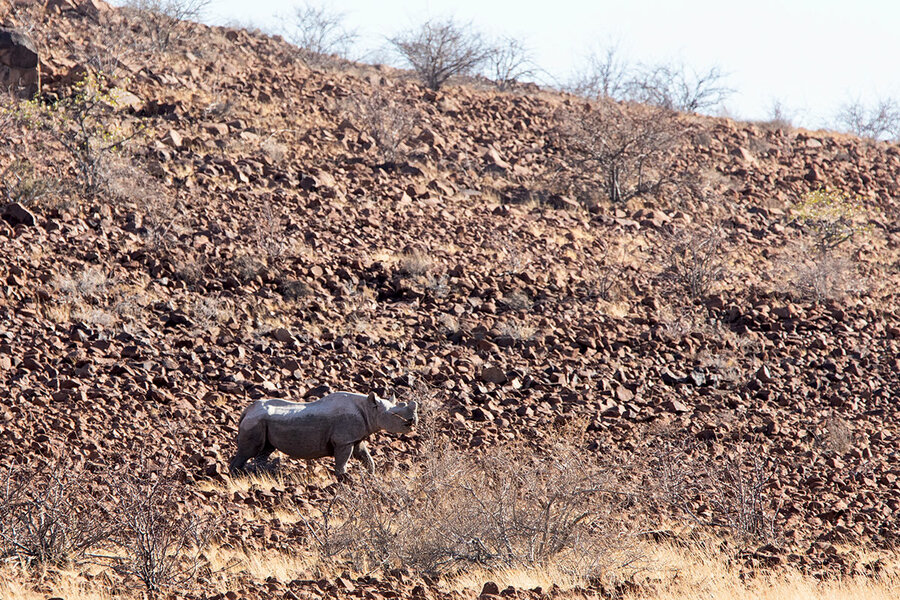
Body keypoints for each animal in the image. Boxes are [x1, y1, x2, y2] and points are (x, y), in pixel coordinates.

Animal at [229, 391, 418, 479]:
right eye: (395, 415)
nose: (413, 421)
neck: (369, 409)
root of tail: (246, 411)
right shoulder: (344, 440)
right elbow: (343, 460)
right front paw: (343, 477)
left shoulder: (356, 438)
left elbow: (366, 457)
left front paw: (371, 474)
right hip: (255, 422)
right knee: (248, 451)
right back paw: (235, 476)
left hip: (261, 421)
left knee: (265, 450)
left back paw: (260, 475)